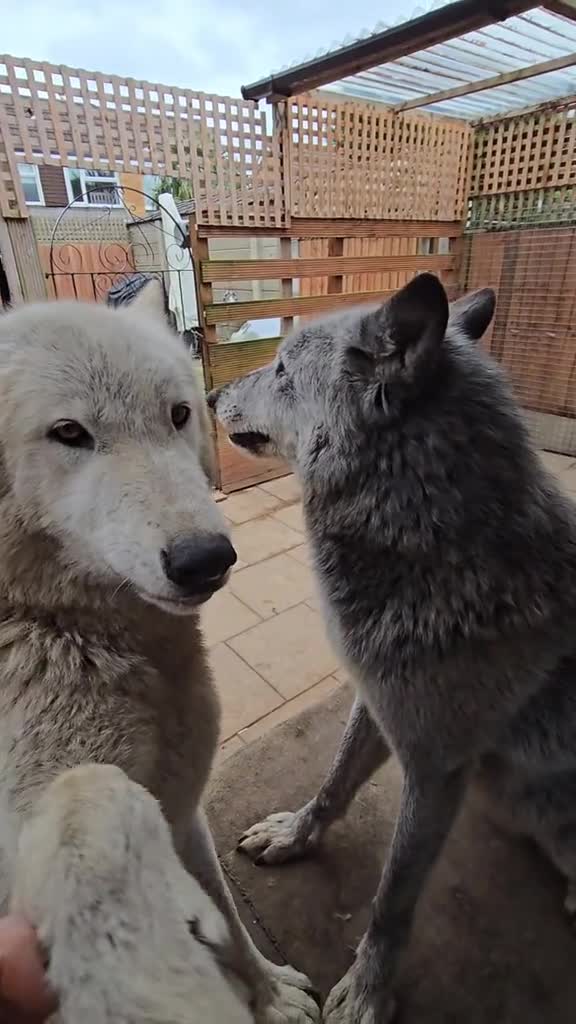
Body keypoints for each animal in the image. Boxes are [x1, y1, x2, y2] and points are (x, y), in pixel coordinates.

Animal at [0, 296, 318, 1024]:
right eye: (68, 432)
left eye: (176, 414)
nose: (207, 559)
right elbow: (92, 804)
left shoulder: (181, 805)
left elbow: (230, 917)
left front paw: (270, 996)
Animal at [209, 273, 576, 1023]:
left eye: (282, 370)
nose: (208, 397)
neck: (437, 539)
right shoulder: (377, 701)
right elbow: (334, 783)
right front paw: (294, 837)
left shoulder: (436, 771)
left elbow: (393, 898)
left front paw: (368, 990)